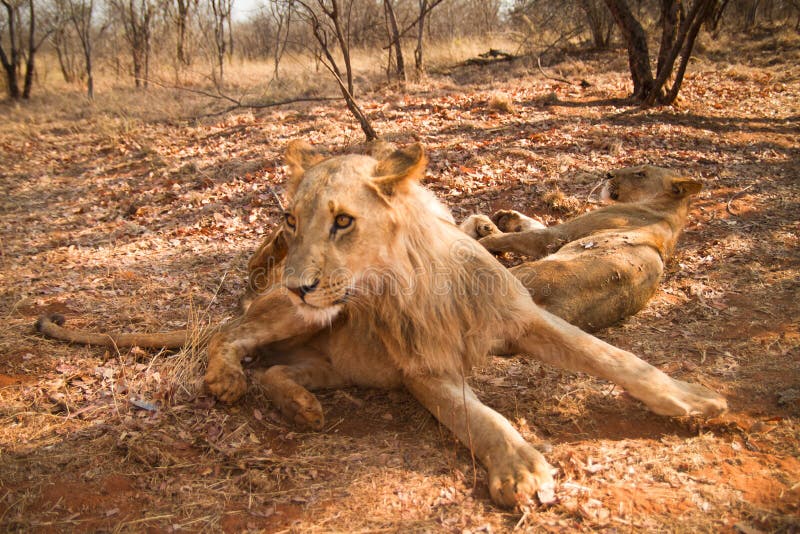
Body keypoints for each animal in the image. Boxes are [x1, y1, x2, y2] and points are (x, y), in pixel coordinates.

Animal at [460, 165, 703, 332]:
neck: (668, 211)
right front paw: (506, 217)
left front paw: (487, 234)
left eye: (641, 174)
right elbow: (533, 225)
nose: (609, 174)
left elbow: (519, 236)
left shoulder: (560, 234)